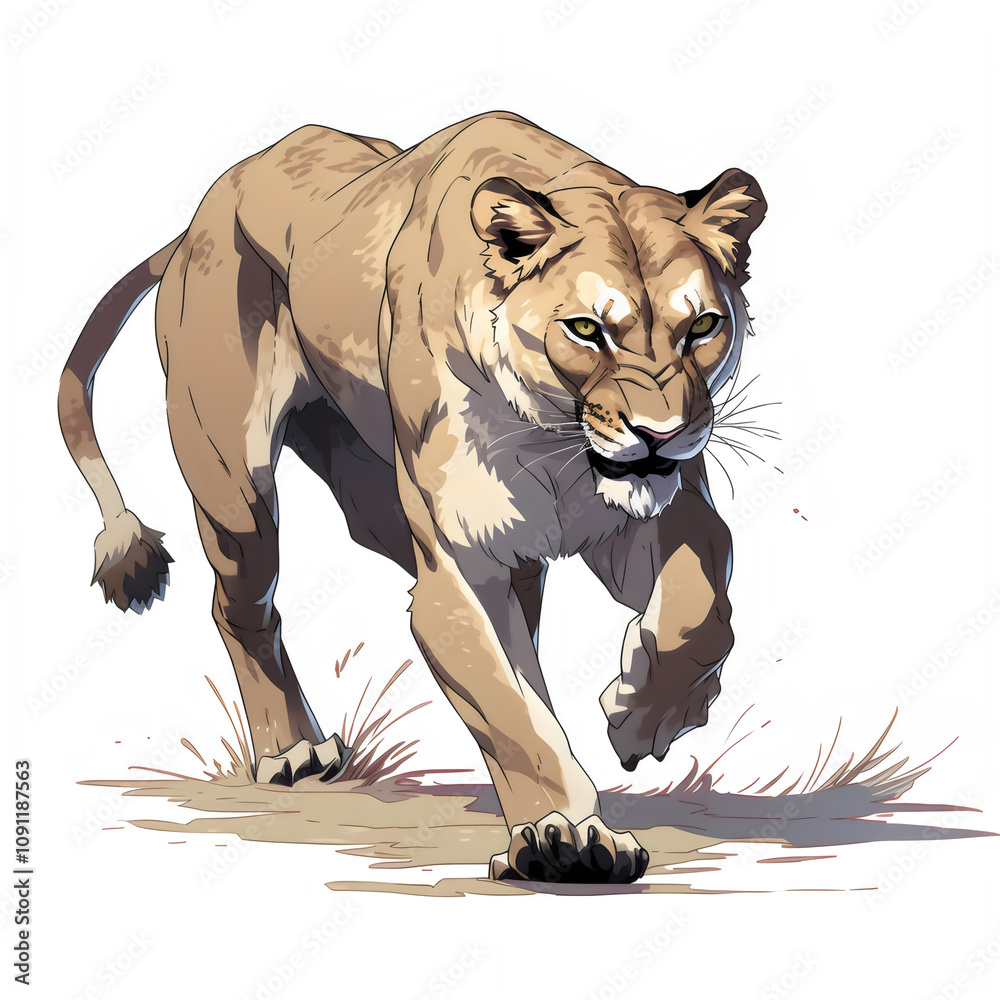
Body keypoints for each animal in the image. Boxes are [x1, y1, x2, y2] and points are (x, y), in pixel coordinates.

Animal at [58, 111, 765, 884]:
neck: (552, 436)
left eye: (702, 327)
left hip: (373, 503)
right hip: (234, 486)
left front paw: (643, 716)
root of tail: (201, 214)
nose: (660, 435)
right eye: (586, 329)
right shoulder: (458, 566)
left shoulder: (662, 518)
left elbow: (702, 612)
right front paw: (565, 836)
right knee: (242, 607)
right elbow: (511, 712)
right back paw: (292, 753)